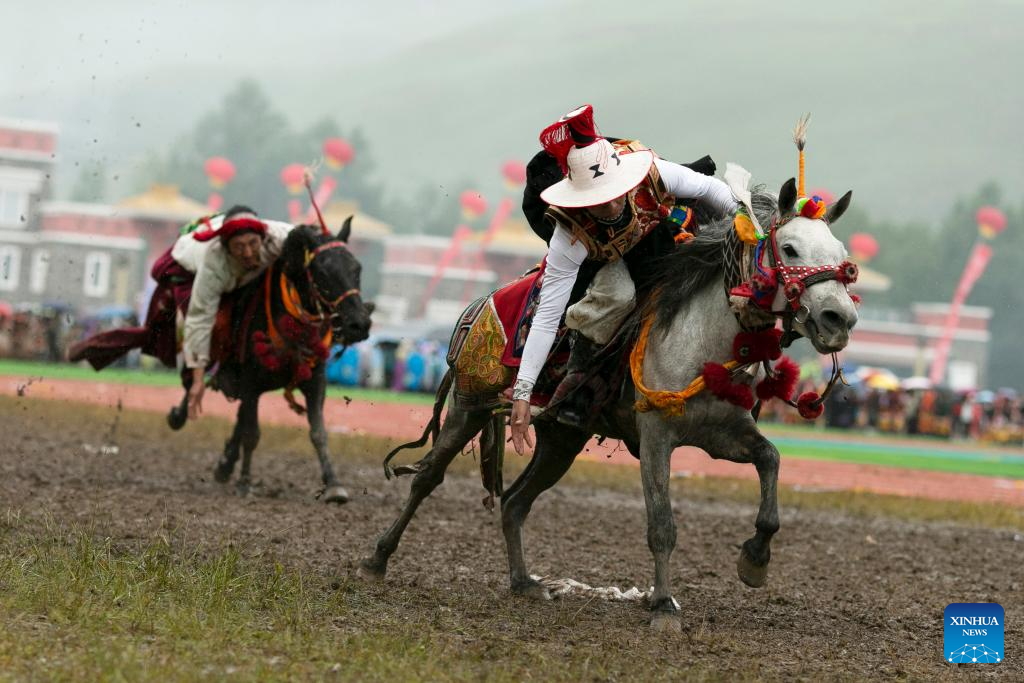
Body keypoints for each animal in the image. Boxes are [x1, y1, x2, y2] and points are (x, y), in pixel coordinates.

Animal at [167, 220, 373, 504]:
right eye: (322, 270)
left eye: (357, 268)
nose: (358, 324)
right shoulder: (250, 382)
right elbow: (251, 434)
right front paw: (245, 482)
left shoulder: (315, 381)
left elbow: (318, 432)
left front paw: (333, 484)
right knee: (193, 384)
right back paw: (180, 416)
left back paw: (226, 463)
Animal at [358, 177, 859, 629]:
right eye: (790, 249)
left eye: (840, 255)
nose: (840, 318)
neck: (700, 337)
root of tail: (479, 303)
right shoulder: (656, 436)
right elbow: (662, 524)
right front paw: (663, 606)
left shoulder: (724, 433)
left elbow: (771, 462)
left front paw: (754, 561)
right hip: (470, 405)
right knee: (428, 477)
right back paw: (376, 560)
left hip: (561, 440)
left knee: (515, 502)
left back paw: (524, 582)